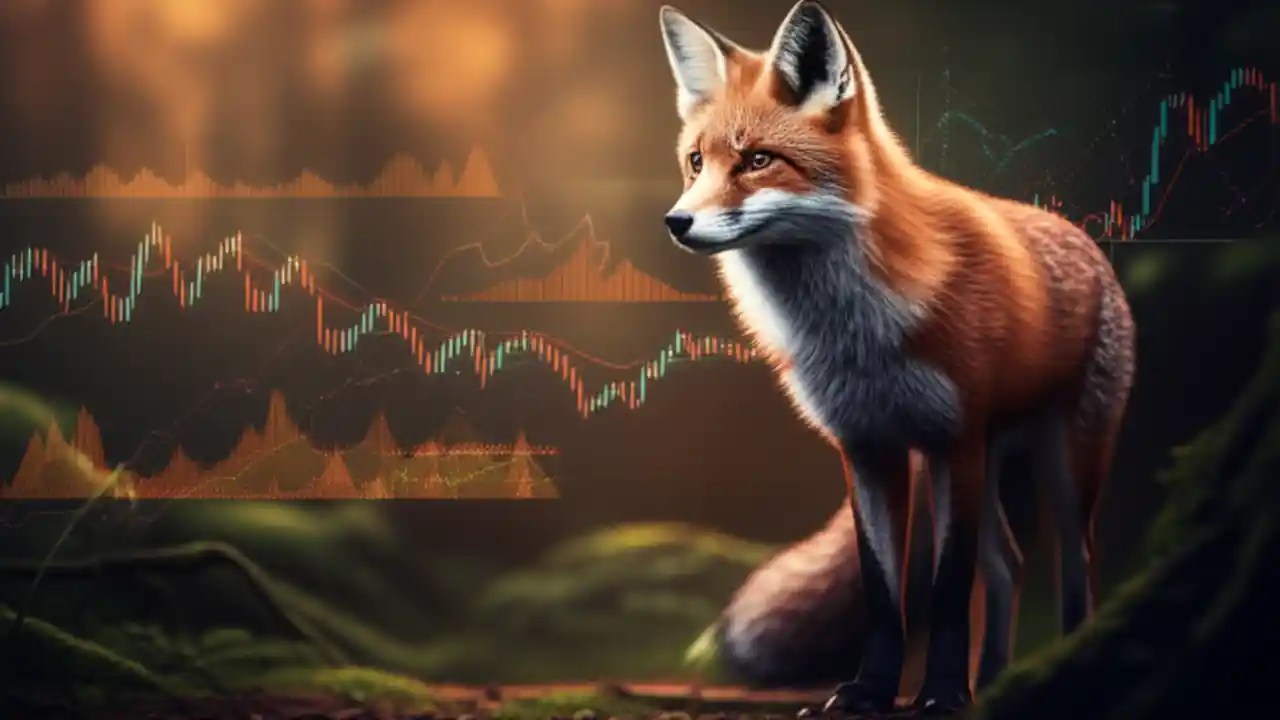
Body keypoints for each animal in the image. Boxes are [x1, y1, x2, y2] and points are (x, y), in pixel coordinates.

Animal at [658, 1, 1135, 716]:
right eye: (696, 162)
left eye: (758, 160)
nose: (676, 221)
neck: (854, 335)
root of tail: (1084, 240)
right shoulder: (868, 449)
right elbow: (884, 594)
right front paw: (870, 692)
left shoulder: (952, 442)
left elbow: (945, 591)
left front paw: (940, 695)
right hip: (991, 463)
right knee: (1010, 564)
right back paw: (996, 679)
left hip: (1067, 457)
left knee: (1078, 564)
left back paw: (1068, 669)